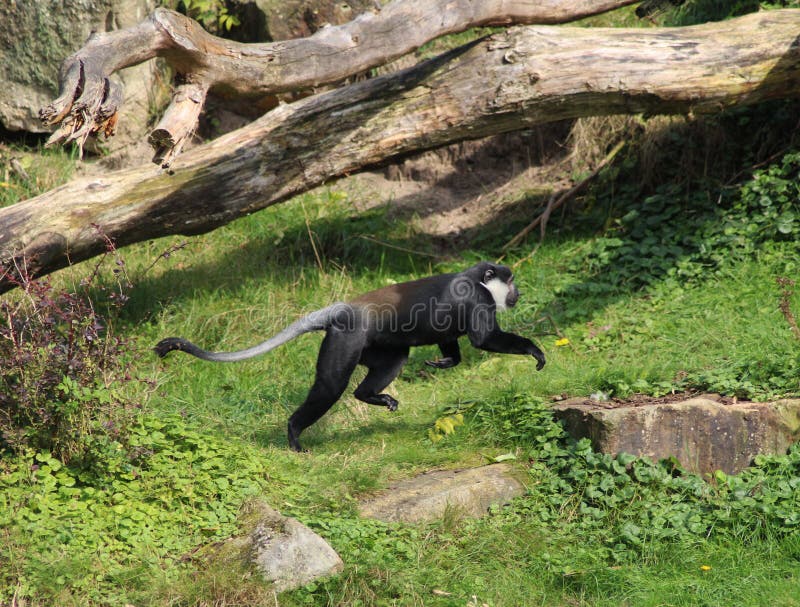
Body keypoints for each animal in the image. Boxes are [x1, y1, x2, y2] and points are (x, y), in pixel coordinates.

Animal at [154, 261, 545, 452]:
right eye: (510, 281)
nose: (518, 292)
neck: (477, 281)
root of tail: (345, 310)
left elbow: (450, 339)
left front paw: (447, 361)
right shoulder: (479, 300)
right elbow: (483, 339)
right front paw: (533, 350)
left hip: (374, 344)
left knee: (393, 361)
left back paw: (369, 395)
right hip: (345, 339)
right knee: (330, 384)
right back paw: (294, 431)